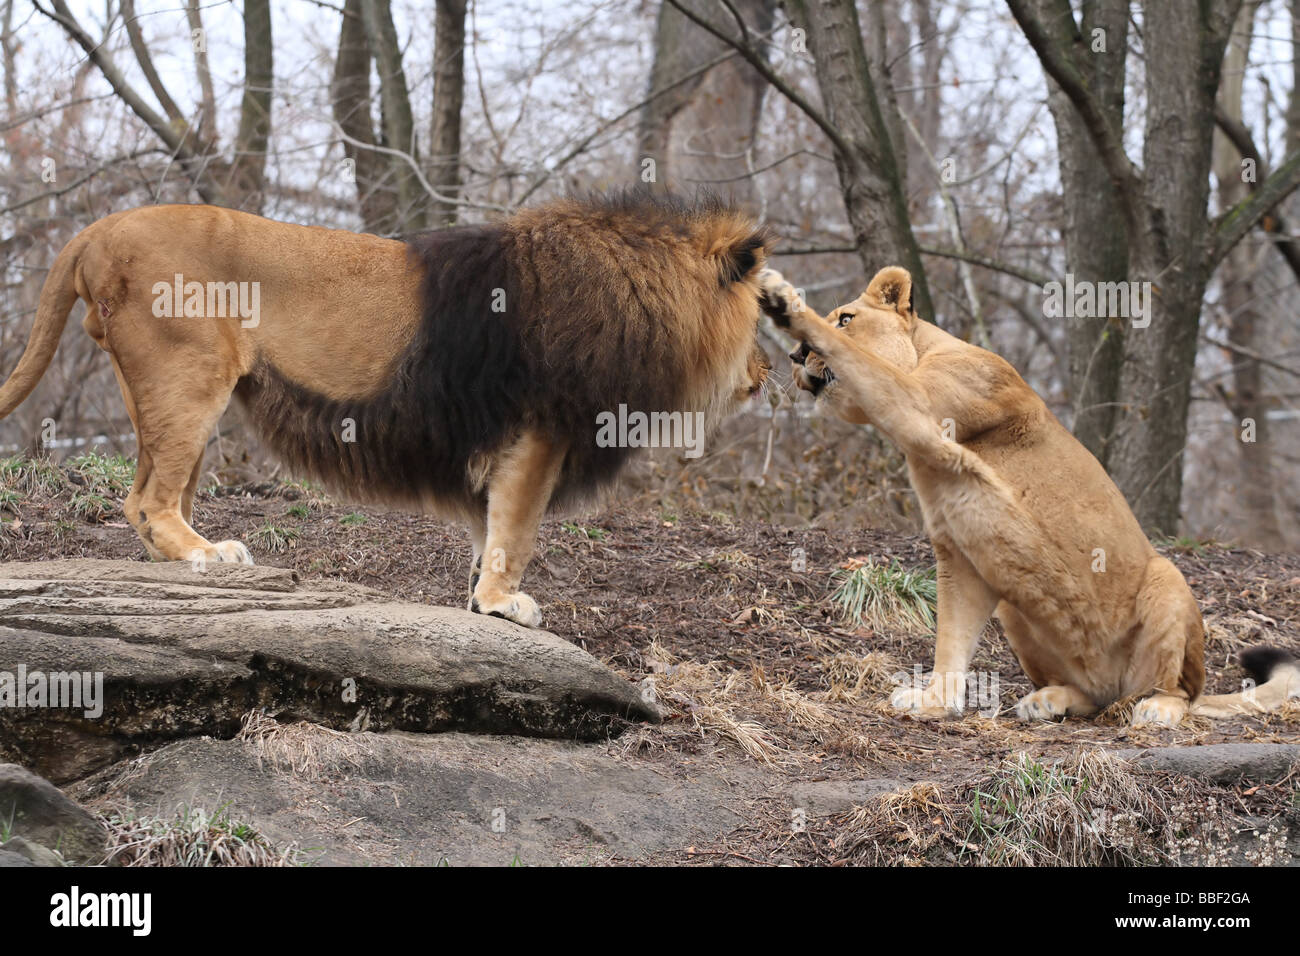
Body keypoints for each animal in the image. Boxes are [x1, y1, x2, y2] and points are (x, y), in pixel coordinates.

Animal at [0, 193, 772, 628]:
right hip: (187, 374)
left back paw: (193, 556)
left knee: (147, 495)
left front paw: (477, 595)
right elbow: (517, 529)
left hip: (159, 388)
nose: (768, 374)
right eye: (764, 315)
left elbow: (488, 525)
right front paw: (503, 603)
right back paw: (208, 556)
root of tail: (96, 231)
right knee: (148, 501)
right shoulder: (538, 429)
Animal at [759, 265, 1298, 727]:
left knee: (1182, 690)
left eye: (846, 318)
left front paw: (783, 302)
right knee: (1093, 695)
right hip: (1015, 612)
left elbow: (862, 363)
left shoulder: (927, 403)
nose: (794, 358)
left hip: (1167, 579)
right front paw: (935, 703)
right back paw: (1051, 700)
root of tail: (1119, 689)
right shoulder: (961, 556)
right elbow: (949, 641)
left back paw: (1157, 708)